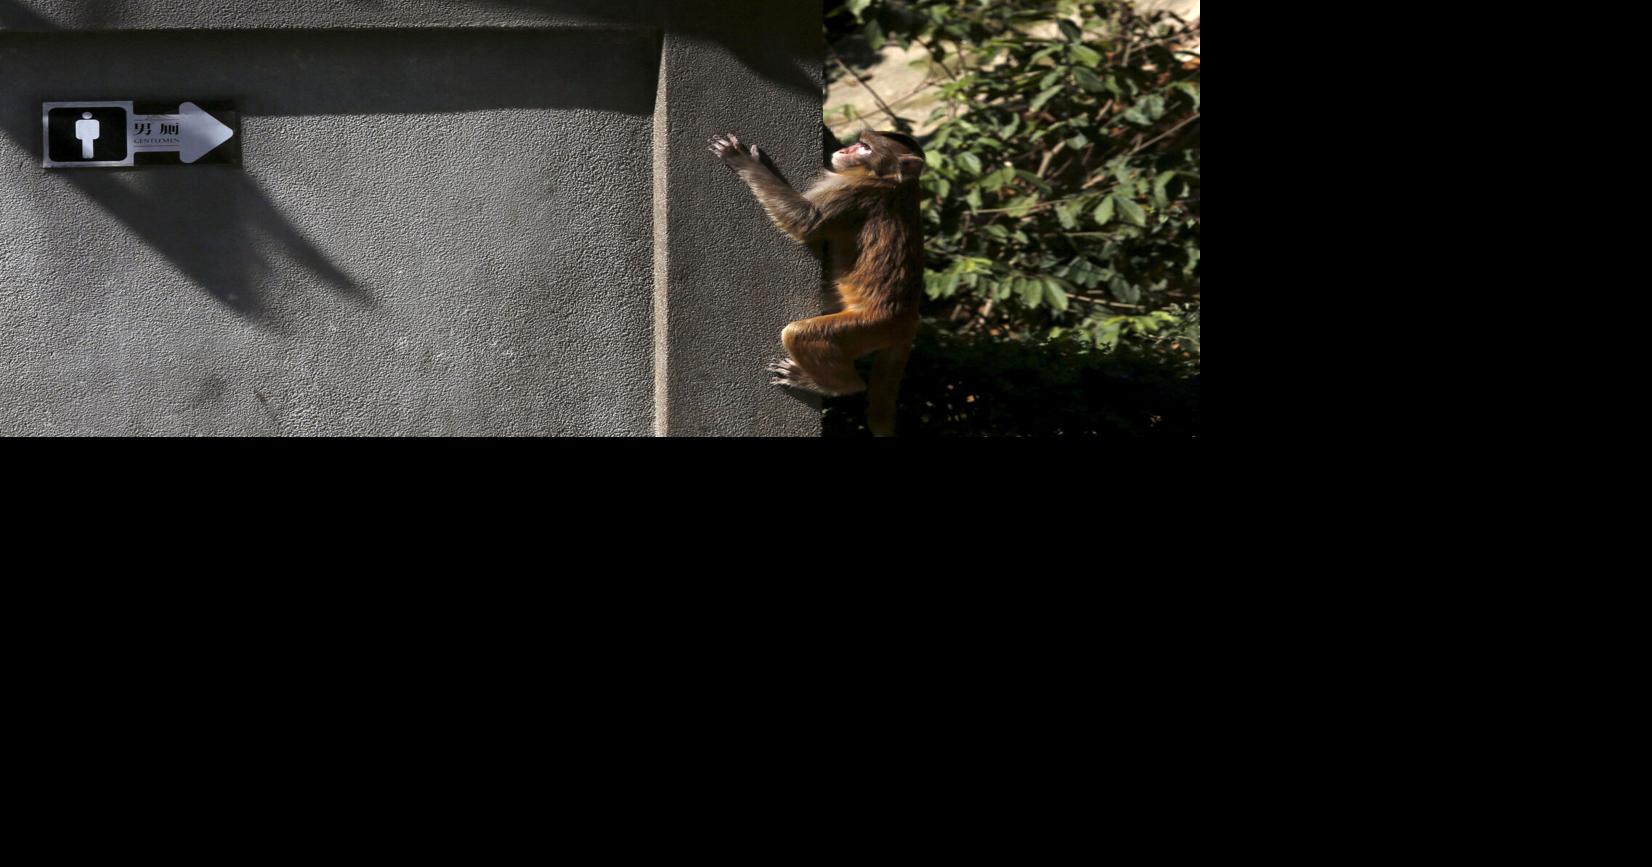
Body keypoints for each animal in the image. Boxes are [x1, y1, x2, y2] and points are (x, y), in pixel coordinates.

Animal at [708, 129, 926, 437]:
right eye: (858, 142)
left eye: (866, 148)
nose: (846, 151)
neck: (894, 181)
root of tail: (910, 318)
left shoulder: (855, 192)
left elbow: (805, 220)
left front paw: (743, 162)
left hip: (869, 326)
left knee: (800, 334)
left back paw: (838, 385)